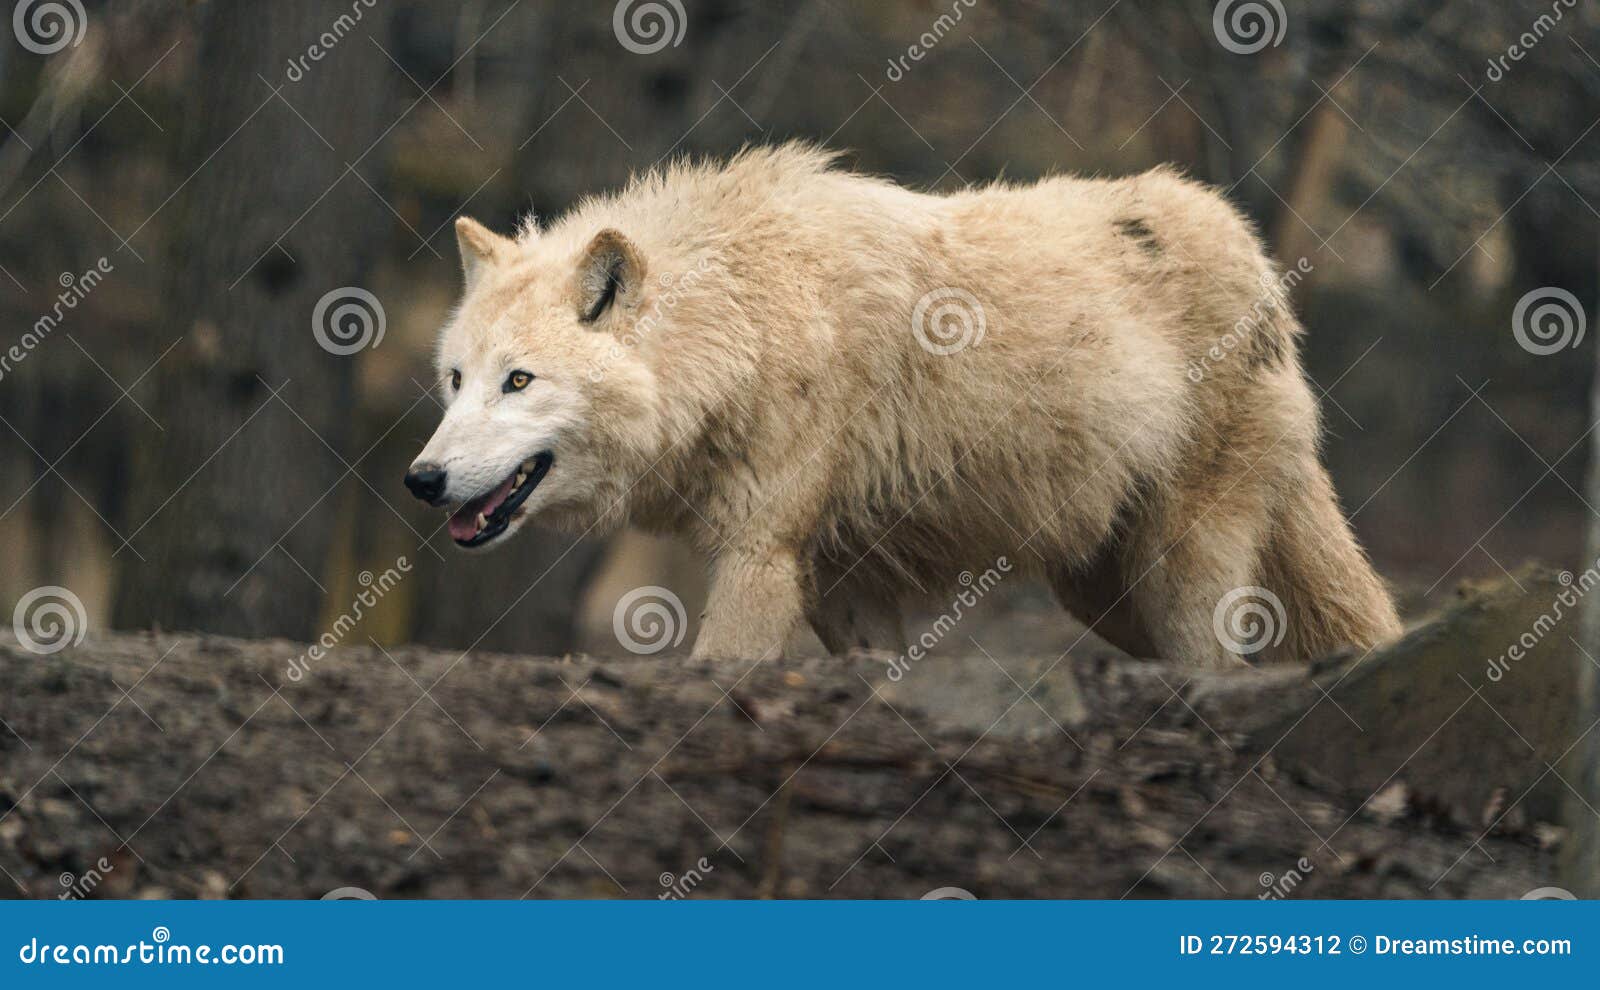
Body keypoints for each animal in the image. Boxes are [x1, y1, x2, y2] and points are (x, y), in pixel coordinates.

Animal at [405, 144, 1401, 667]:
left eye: (519, 380)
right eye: (456, 380)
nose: (423, 478)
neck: (745, 322)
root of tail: (1255, 252)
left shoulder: (761, 553)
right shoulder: (843, 583)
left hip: (1180, 562)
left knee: (1217, 666)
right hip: (1101, 589)